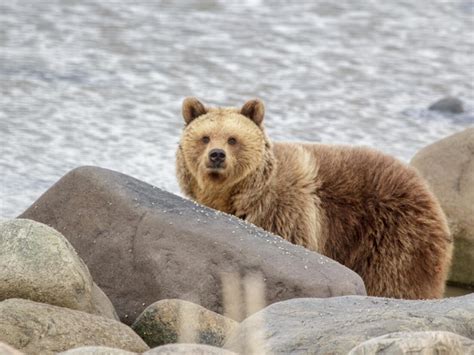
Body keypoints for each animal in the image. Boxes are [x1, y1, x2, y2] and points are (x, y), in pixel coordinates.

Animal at [176, 97, 454, 300]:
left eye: (233, 139)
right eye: (205, 137)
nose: (217, 155)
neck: (243, 194)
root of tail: (430, 196)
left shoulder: (286, 213)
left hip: (395, 237)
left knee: (395, 280)